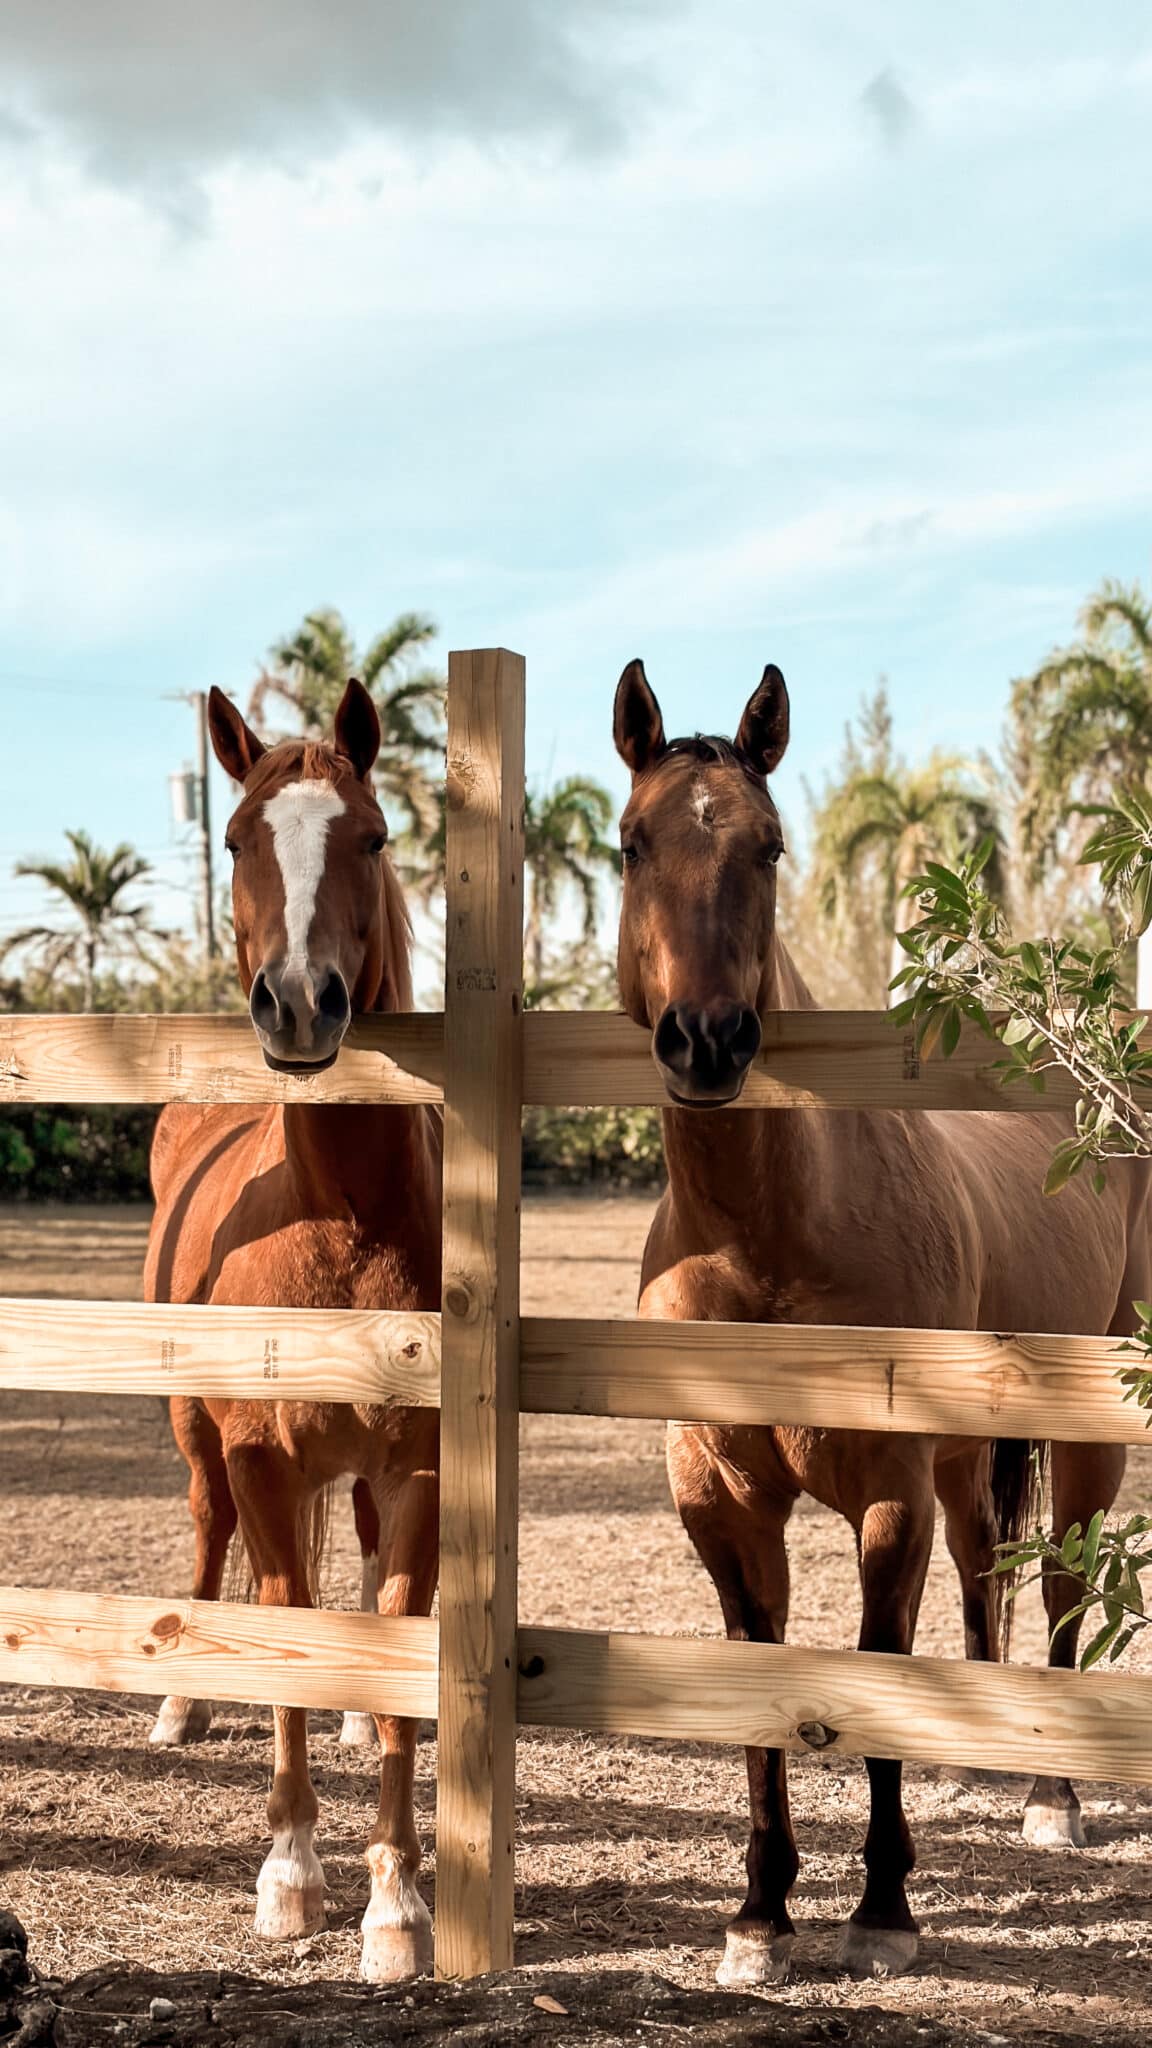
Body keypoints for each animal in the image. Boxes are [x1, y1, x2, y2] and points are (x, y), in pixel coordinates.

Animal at [612, 657, 1149, 1984]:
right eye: (634, 842)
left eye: (768, 845)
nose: (709, 1039)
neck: (770, 1233)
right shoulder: (721, 1500)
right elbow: (764, 1679)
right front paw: (760, 1911)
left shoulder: (886, 1491)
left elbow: (874, 1663)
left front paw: (884, 1906)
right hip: (965, 1458)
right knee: (984, 1565)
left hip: (1083, 1437)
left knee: (1063, 1587)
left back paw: (1052, 1794)